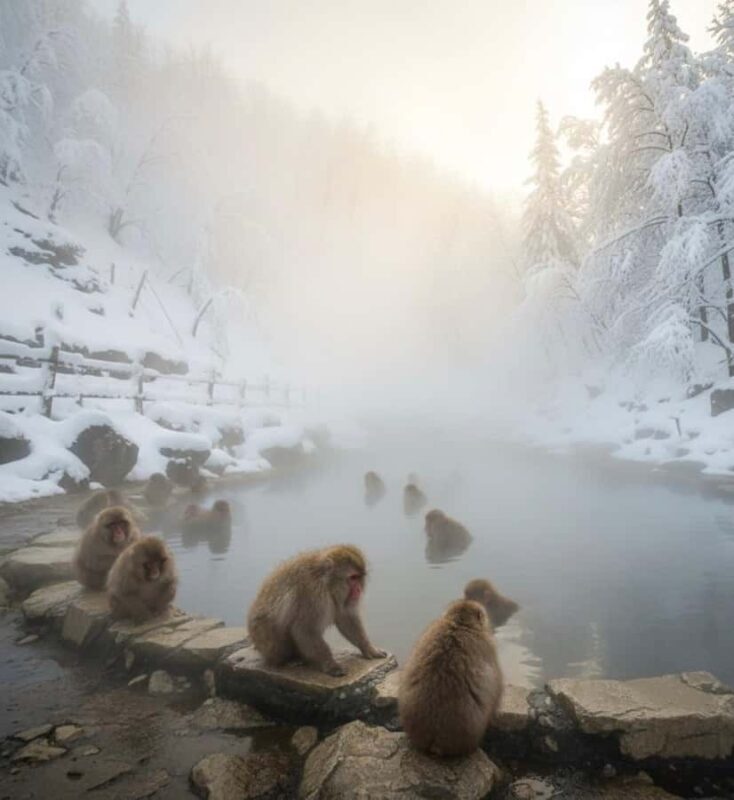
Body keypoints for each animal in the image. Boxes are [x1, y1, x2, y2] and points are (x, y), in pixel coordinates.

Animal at [247, 544, 386, 676]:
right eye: (352, 577)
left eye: (359, 577)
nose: (358, 590)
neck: (326, 584)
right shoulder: (312, 595)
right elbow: (305, 630)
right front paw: (331, 665)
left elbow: (346, 618)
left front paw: (368, 648)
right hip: (264, 639)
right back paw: (288, 660)